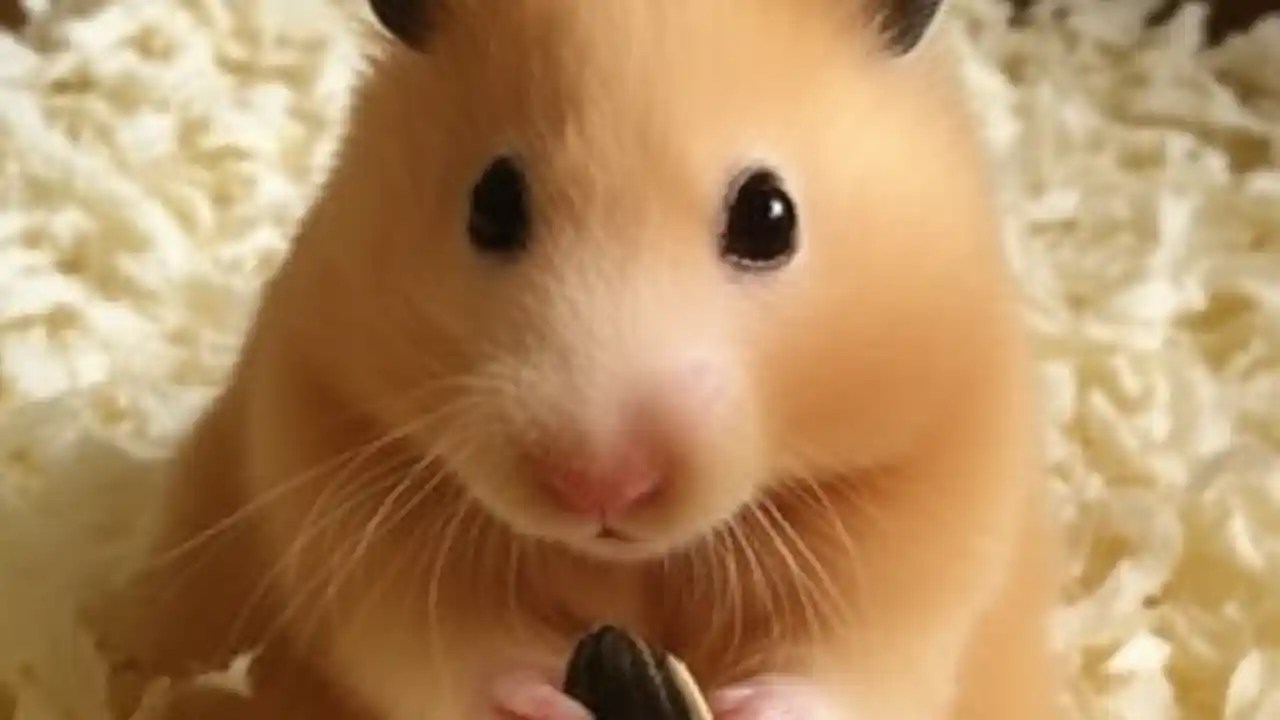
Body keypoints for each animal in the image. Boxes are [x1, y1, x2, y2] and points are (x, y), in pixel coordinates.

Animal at [123, 0, 1063, 718]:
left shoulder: (936, 490)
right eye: (492, 203)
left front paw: (748, 705)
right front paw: (547, 700)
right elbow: (441, 646)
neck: (630, 558)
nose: (598, 486)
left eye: (770, 215)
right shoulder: (334, 451)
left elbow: (856, 658)